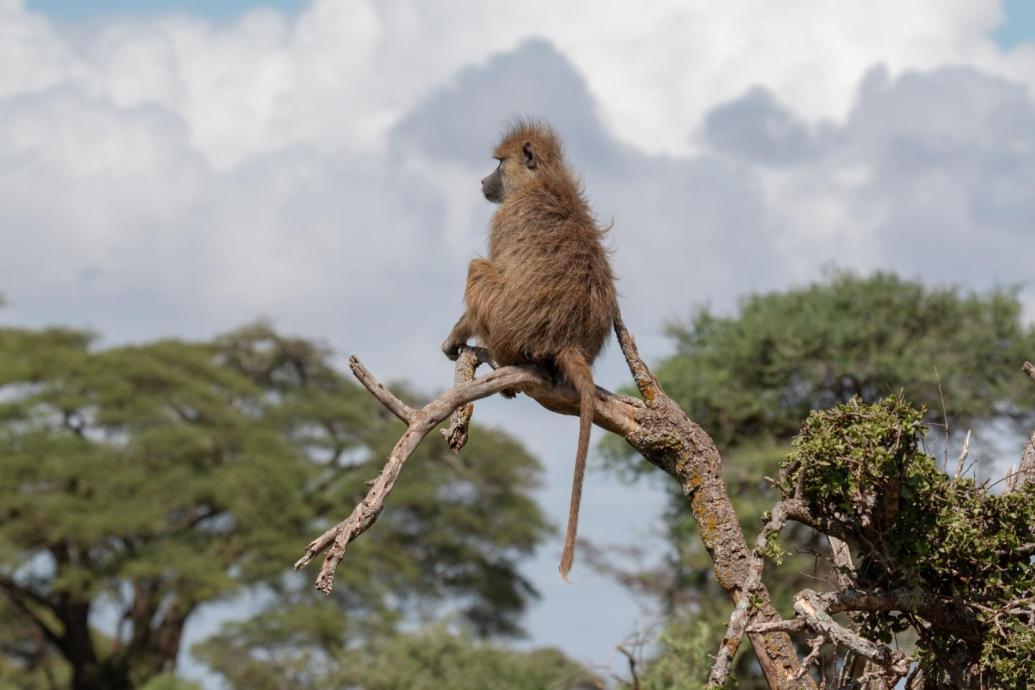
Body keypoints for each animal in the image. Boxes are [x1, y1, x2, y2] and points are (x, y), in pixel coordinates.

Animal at [441, 120, 619, 581]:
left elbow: (495, 268)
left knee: (478, 269)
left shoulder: (505, 217)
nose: (482, 182)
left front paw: (454, 337)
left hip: (506, 328)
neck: (545, 180)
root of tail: (567, 341)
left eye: (498, 164)